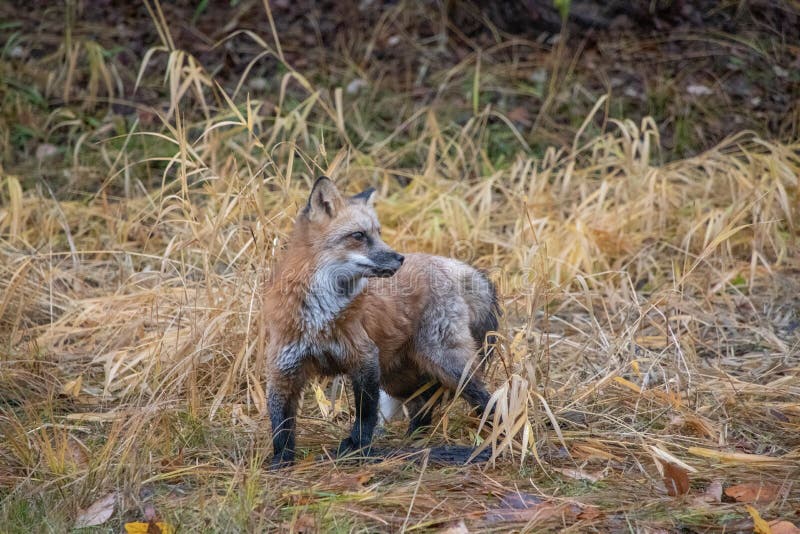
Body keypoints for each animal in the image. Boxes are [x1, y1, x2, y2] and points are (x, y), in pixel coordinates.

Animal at [263, 177, 499, 468]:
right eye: (358, 236)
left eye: (378, 232)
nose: (400, 258)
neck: (321, 315)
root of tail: (445, 263)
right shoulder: (283, 366)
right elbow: (280, 424)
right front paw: (281, 462)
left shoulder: (365, 359)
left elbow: (366, 414)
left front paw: (356, 448)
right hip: (395, 376)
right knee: (422, 405)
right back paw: (413, 442)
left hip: (447, 364)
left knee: (487, 399)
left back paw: (499, 438)